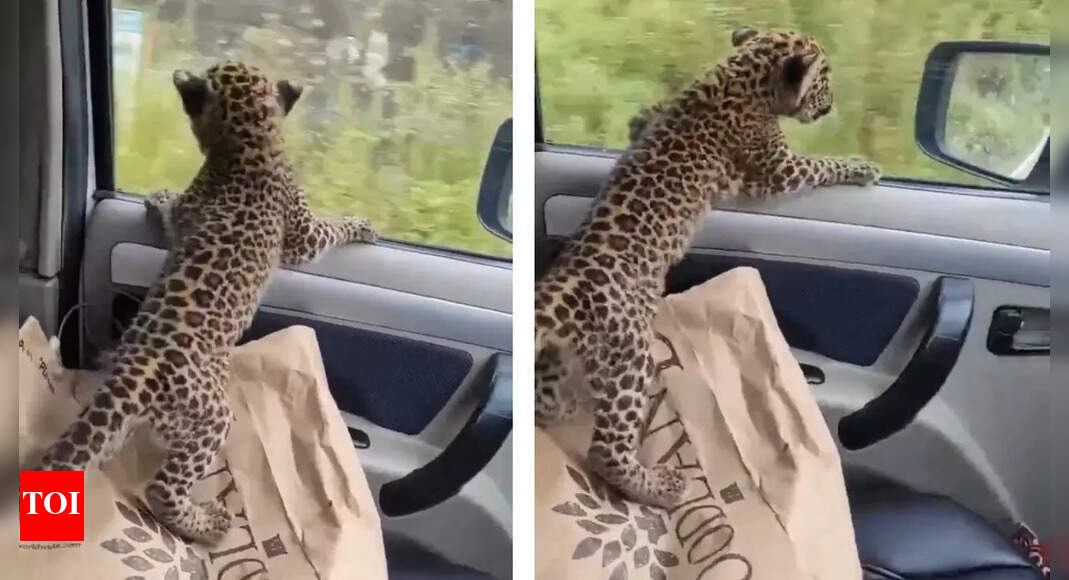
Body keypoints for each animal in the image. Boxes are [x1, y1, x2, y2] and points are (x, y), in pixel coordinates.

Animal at [34, 60, 377, 544]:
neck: (250, 140)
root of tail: (135, 372)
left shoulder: (195, 209)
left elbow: (176, 213)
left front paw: (158, 199)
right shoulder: (303, 235)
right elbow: (329, 231)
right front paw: (360, 224)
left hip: (125, 418)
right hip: (213, 417)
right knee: (164, 487)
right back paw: (207, 525)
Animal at [534, 28, 881, 508]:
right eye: (823, 79)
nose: (830, 107)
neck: (741, 74)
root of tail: (560, 290)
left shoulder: (649, 118)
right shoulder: (780, 171)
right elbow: (822, 165)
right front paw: (860, 166)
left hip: (557, 357)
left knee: (544, 400)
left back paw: (568, 409)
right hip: (633, 355)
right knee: (606, 450)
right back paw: (661, 488)